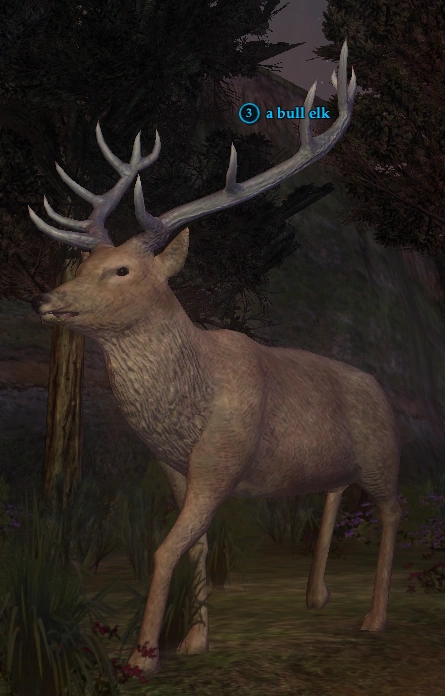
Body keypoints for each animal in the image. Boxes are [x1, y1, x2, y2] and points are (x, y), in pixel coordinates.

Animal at [29, 41, 401, 677]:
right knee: (332, 493)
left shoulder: (223, 457)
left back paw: (375, 617)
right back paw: (316, 595)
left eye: (121, 270)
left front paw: (143, 655)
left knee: (394, 510)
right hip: (339, 463)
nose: (48, 300)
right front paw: (195, 640)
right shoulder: (175, 467)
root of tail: (378, 386)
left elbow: (163, 549)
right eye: (83, 265)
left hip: (383, 454)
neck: (183, 413)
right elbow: (196, 545)